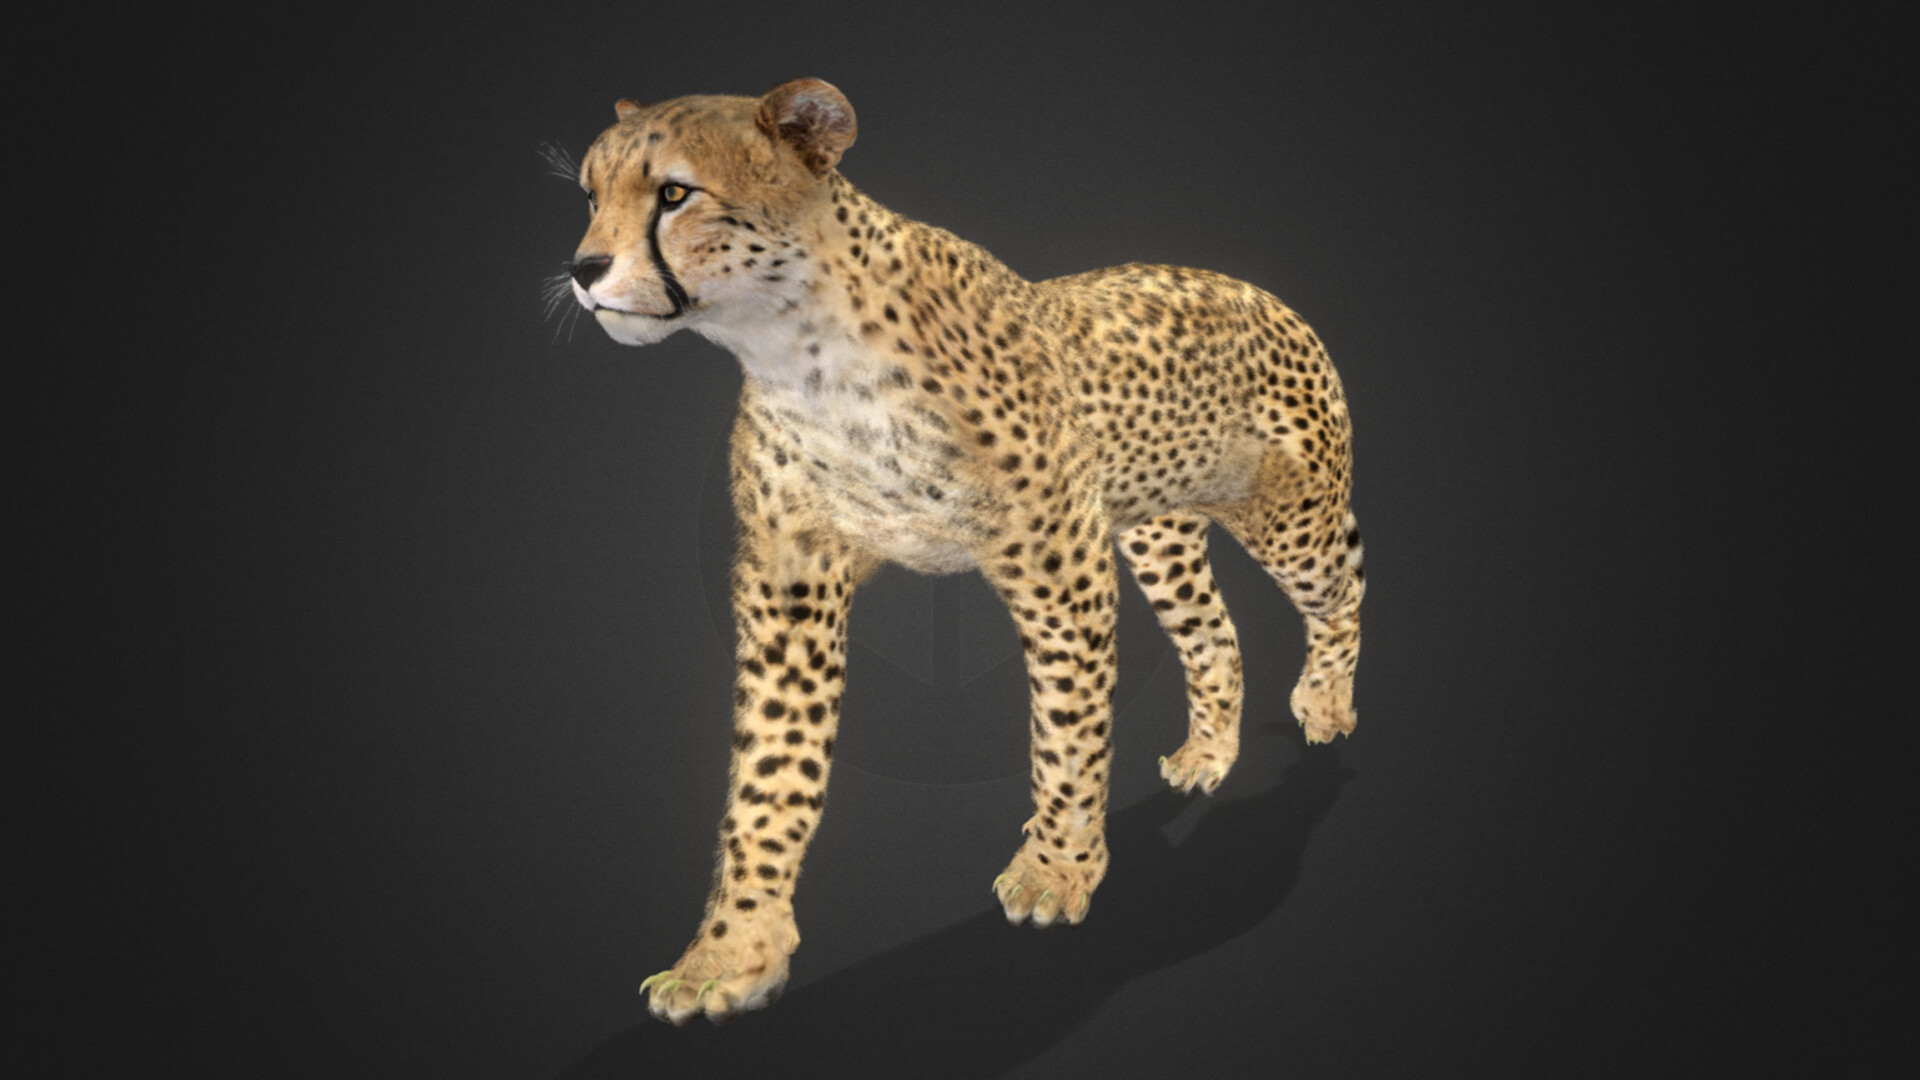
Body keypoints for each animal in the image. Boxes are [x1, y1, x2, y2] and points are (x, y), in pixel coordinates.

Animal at [560, 78, 1365, 1025]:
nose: (583, 269)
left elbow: (1067, 735)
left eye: (675, 193)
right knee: (1214, 633)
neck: (800, 348)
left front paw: (1055, 870)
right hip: (1158, 533)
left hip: (1291, 515)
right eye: (588, 195)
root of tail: (1255, 288)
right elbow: (767, 780)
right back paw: (1209, 754)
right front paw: (731, 953)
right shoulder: (791, 588)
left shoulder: (1059, 569)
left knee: (1346, 589)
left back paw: (1326, 704)